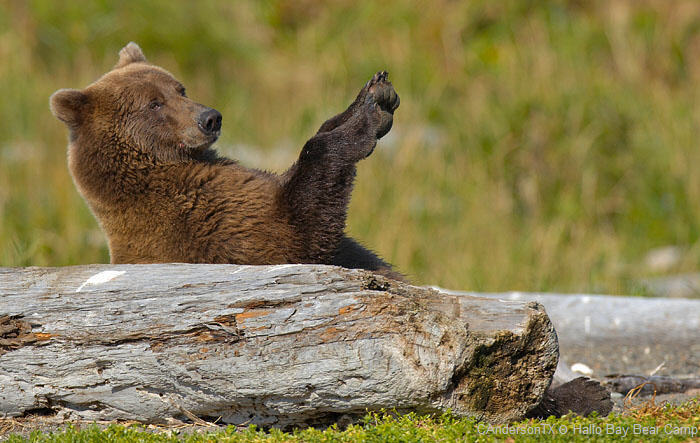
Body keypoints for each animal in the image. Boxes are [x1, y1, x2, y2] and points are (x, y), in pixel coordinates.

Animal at [50, 42, 402, 279]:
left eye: (180, 89)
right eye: (154, 103)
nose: (210, 118)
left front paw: (375, 94)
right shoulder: (208, 220)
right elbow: (301, 233)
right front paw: (368, 119)